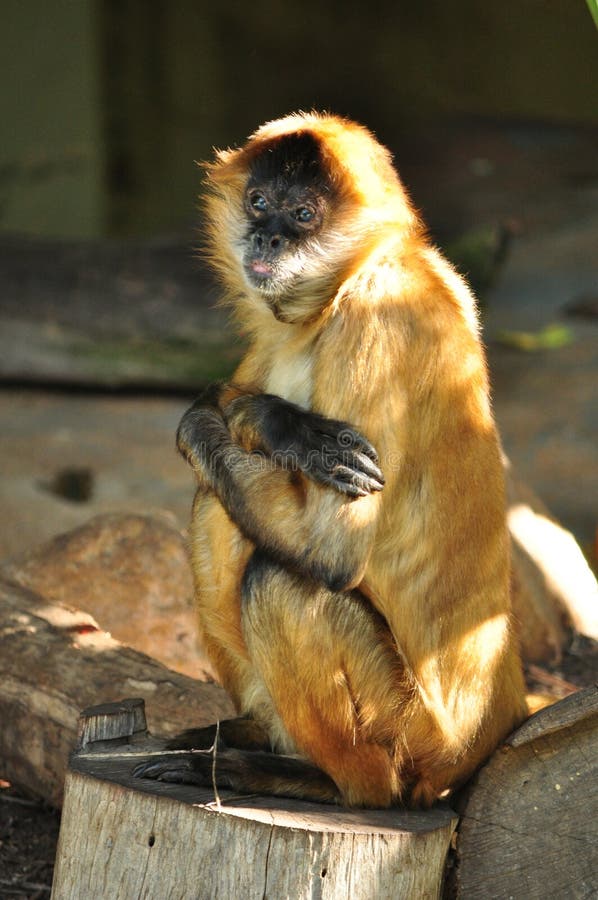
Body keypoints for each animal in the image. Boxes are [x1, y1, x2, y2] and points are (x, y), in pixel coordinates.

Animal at [134, 112, 528, 808]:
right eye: (259, 202)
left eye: (303, 214)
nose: (267, 234)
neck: (341, 290)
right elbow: (208, 419)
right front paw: (279, 427)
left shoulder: (377, 317)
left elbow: (331, 556)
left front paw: (271, 421)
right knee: (216, 501)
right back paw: (260, 736)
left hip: (406, 729)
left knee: (279, 579)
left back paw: (328, 782)